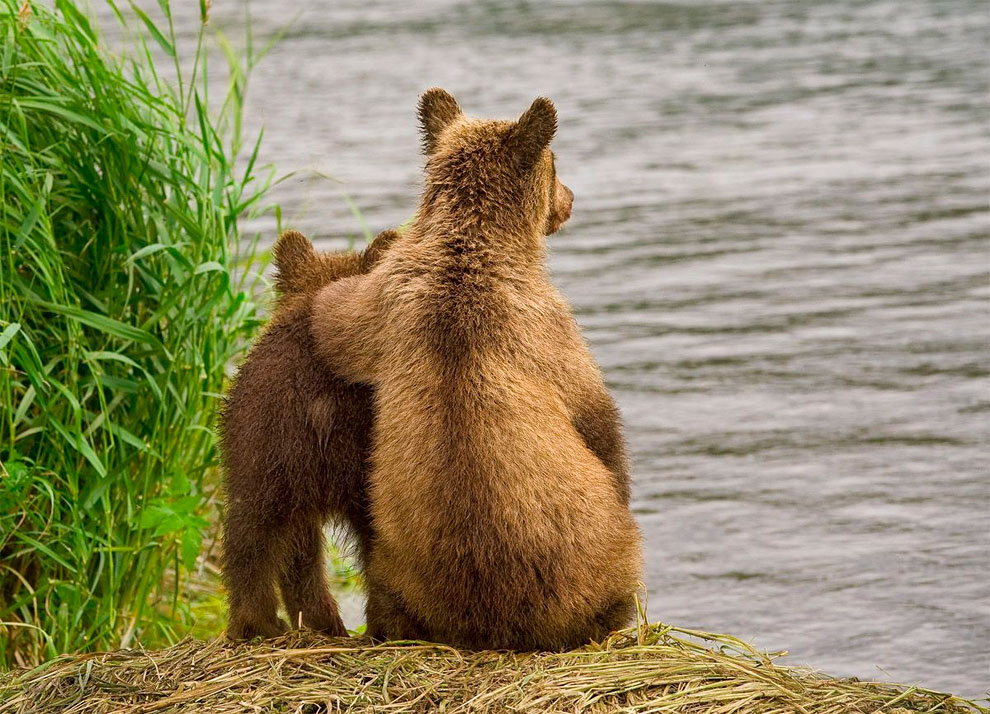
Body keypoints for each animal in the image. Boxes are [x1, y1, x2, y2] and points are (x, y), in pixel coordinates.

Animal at [307, 88, 642, 651]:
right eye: (556, 163)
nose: (571, 198)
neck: (469, 238)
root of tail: (493, 621)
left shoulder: (380, 302)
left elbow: (330, 318)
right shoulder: (548, 327)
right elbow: (596, 416)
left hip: (395, 564)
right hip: (595, 564)